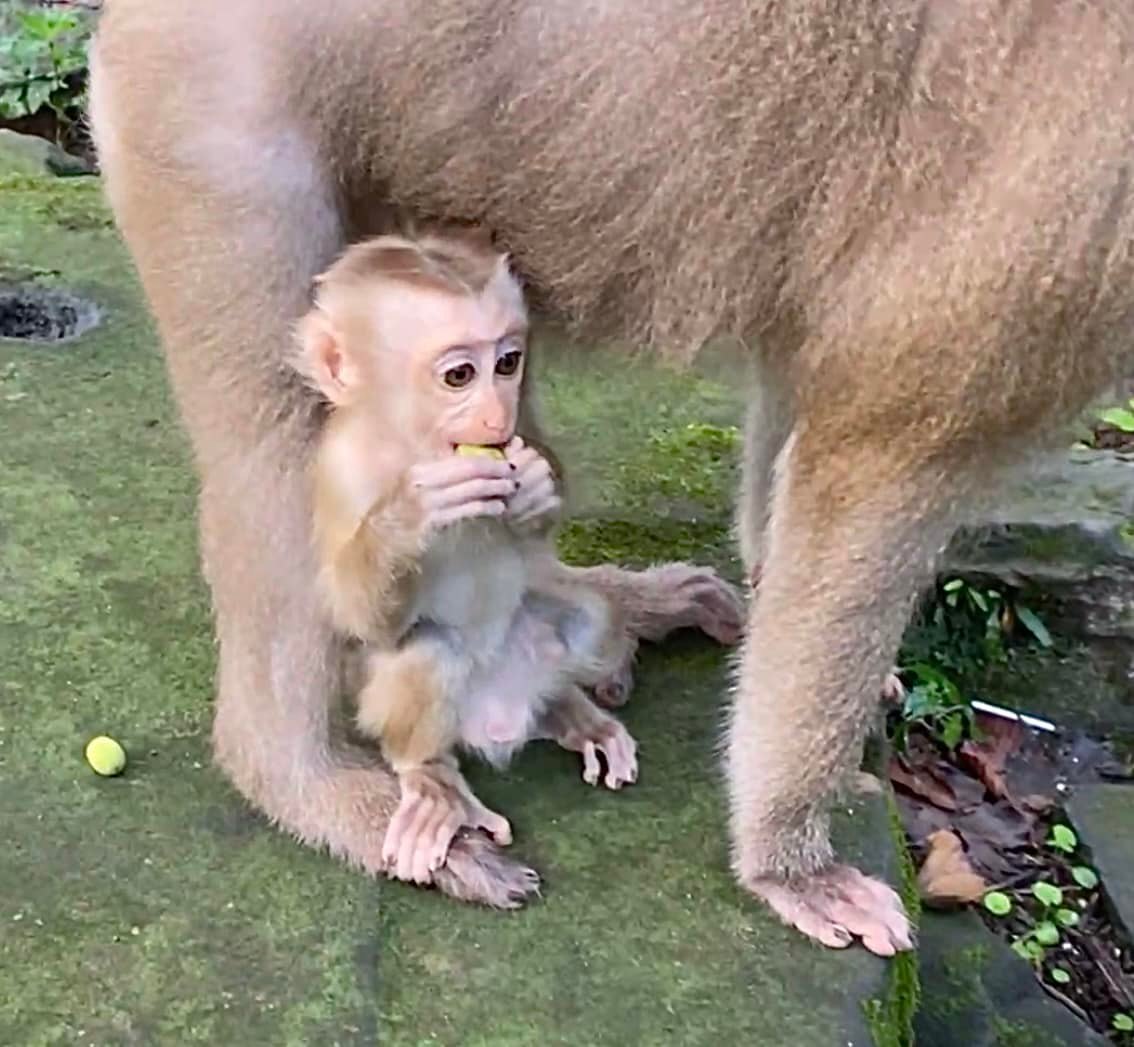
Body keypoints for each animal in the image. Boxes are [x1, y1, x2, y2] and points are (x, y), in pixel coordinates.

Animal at [290, 230, 643, 886]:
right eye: (459, 375)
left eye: (508, 364)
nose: (495, 413)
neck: (412, 446)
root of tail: (499, 716)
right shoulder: (343, 469)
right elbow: (357, 617)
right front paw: (411, 515)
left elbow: (537, 515)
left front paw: (535, 487)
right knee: (428, 651)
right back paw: (429, 776)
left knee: (592, 613)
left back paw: (568, 709)